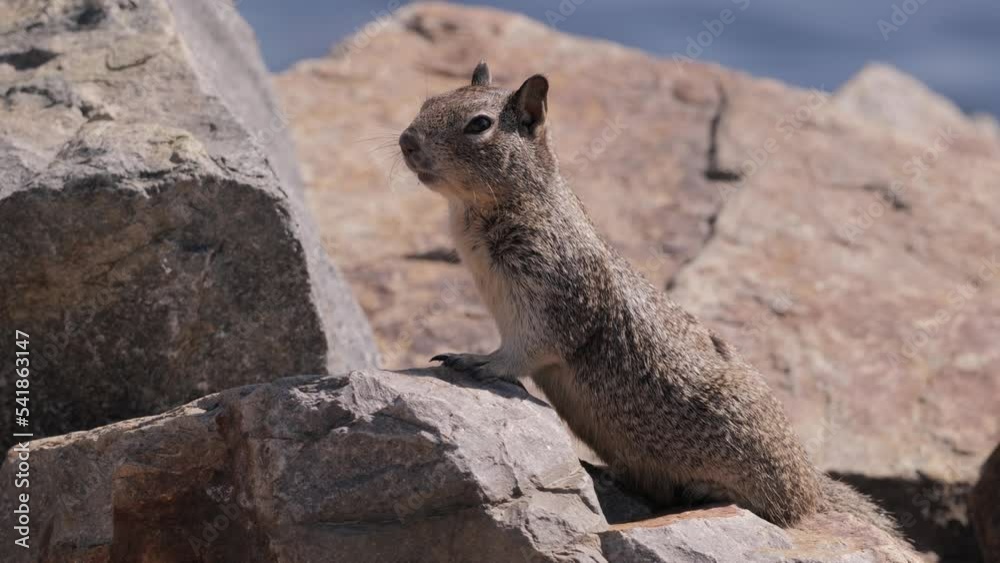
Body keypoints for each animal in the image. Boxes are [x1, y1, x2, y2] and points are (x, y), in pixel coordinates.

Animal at [399, 61, 906, 541]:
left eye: (479, 124)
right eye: (427, 101)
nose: (406, 141)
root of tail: (812, 486)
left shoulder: (551, 295)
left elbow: (523, 351)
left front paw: (475, 360)